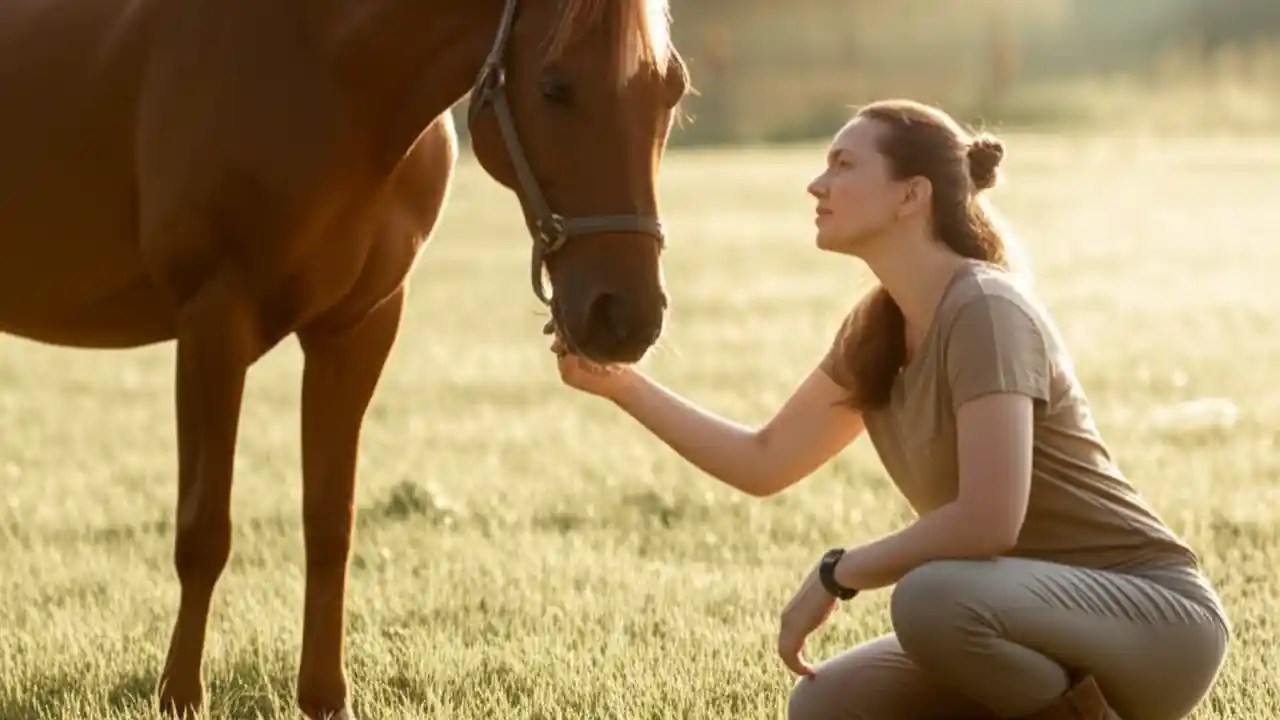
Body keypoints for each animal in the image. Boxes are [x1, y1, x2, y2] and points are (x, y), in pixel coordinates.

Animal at [0, 0, 689, 716]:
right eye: (554, 87)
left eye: (672, 90)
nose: (625, 317)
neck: (327, 73)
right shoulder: (213, 320)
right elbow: (203, 532)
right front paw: (181, 697)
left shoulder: (358, 330)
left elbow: (330, 523)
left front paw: (324, 696)